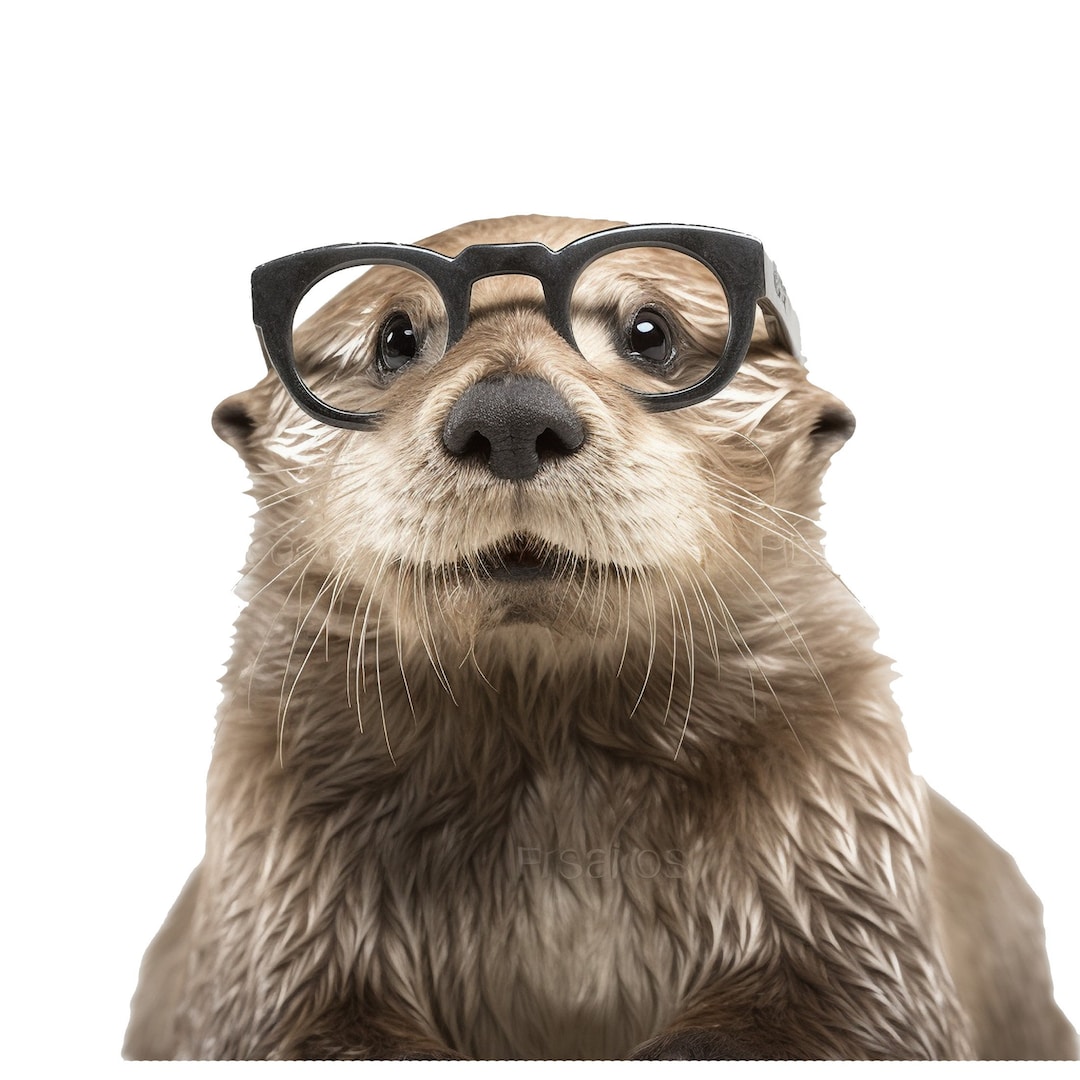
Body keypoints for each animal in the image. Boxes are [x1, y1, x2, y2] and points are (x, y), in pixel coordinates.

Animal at [124, 215, 1076, 1060]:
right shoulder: (275, 871)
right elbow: (286, 1027)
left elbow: (857, 1017)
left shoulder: (840, 823)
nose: (511, 414)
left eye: (649, 330)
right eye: (395, 337)